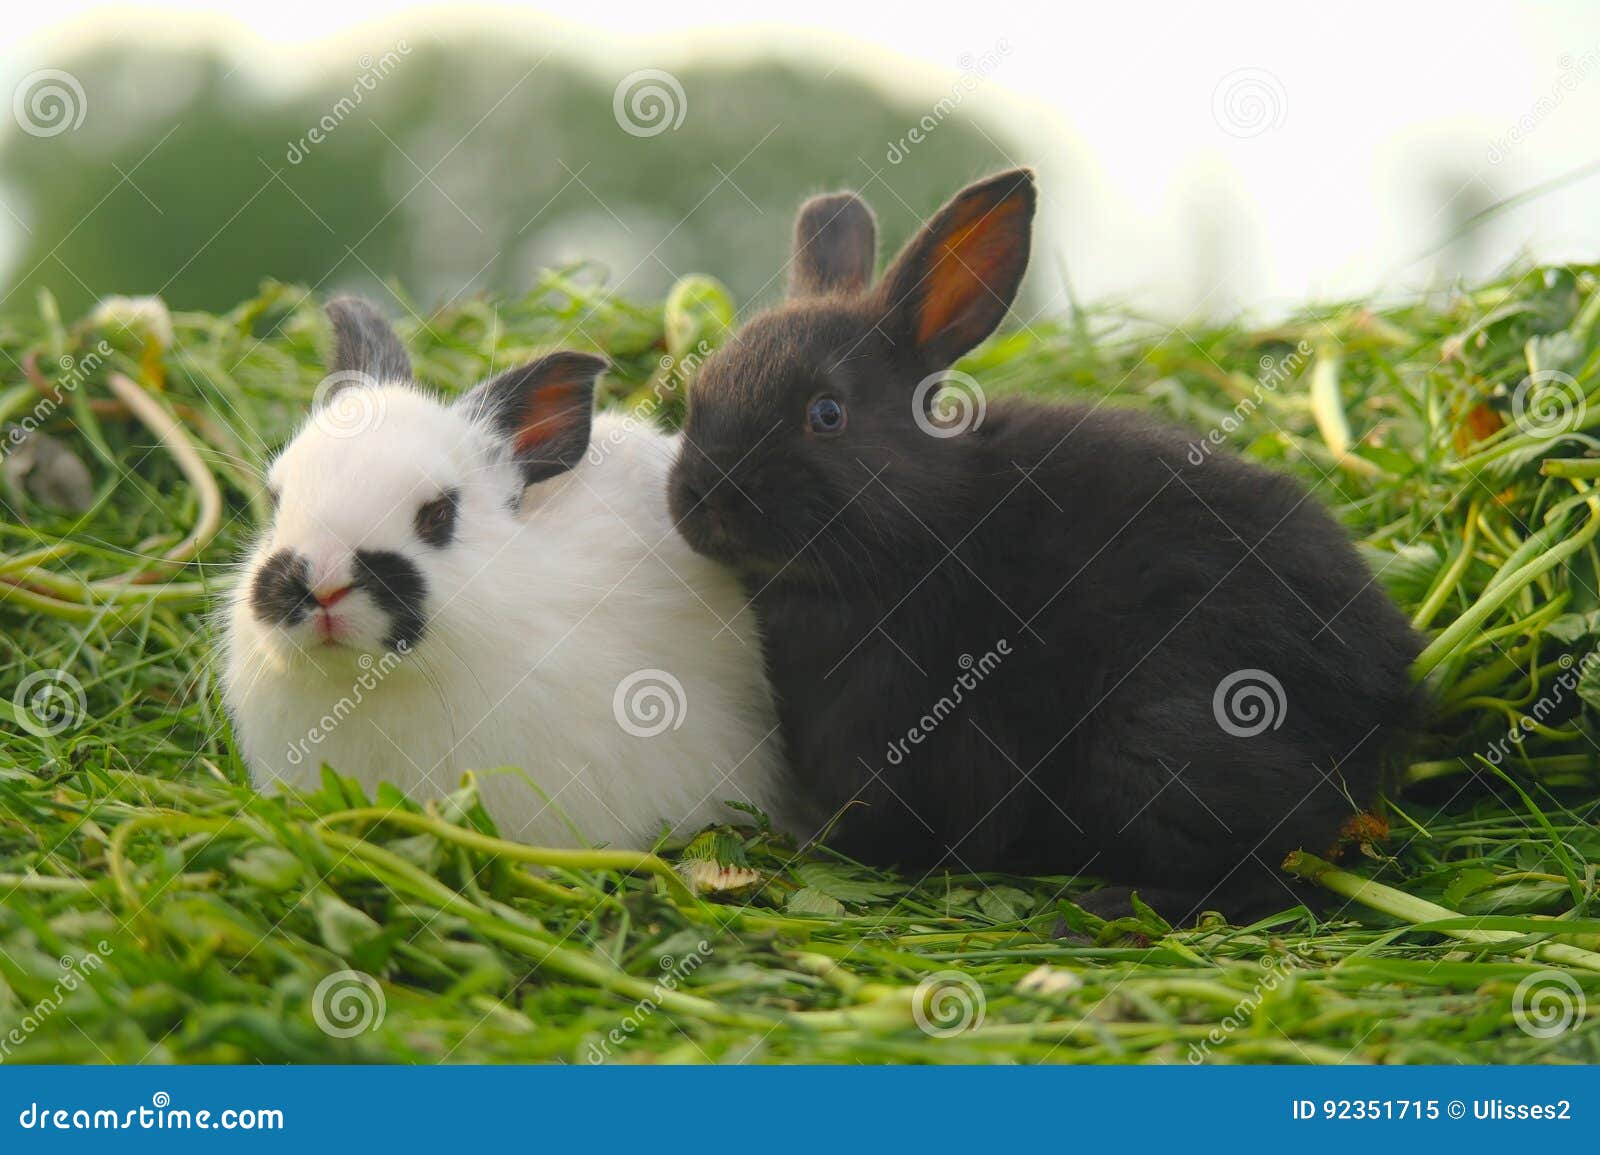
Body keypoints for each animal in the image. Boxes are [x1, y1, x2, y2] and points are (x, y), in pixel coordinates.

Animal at [666, 170, 1422, 922]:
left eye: (826, 414)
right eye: (700, 393)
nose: (707, 494)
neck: (921, 529)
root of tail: (1390, 687)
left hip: (1163, 741)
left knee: (1286, 870)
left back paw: (1103, 910)